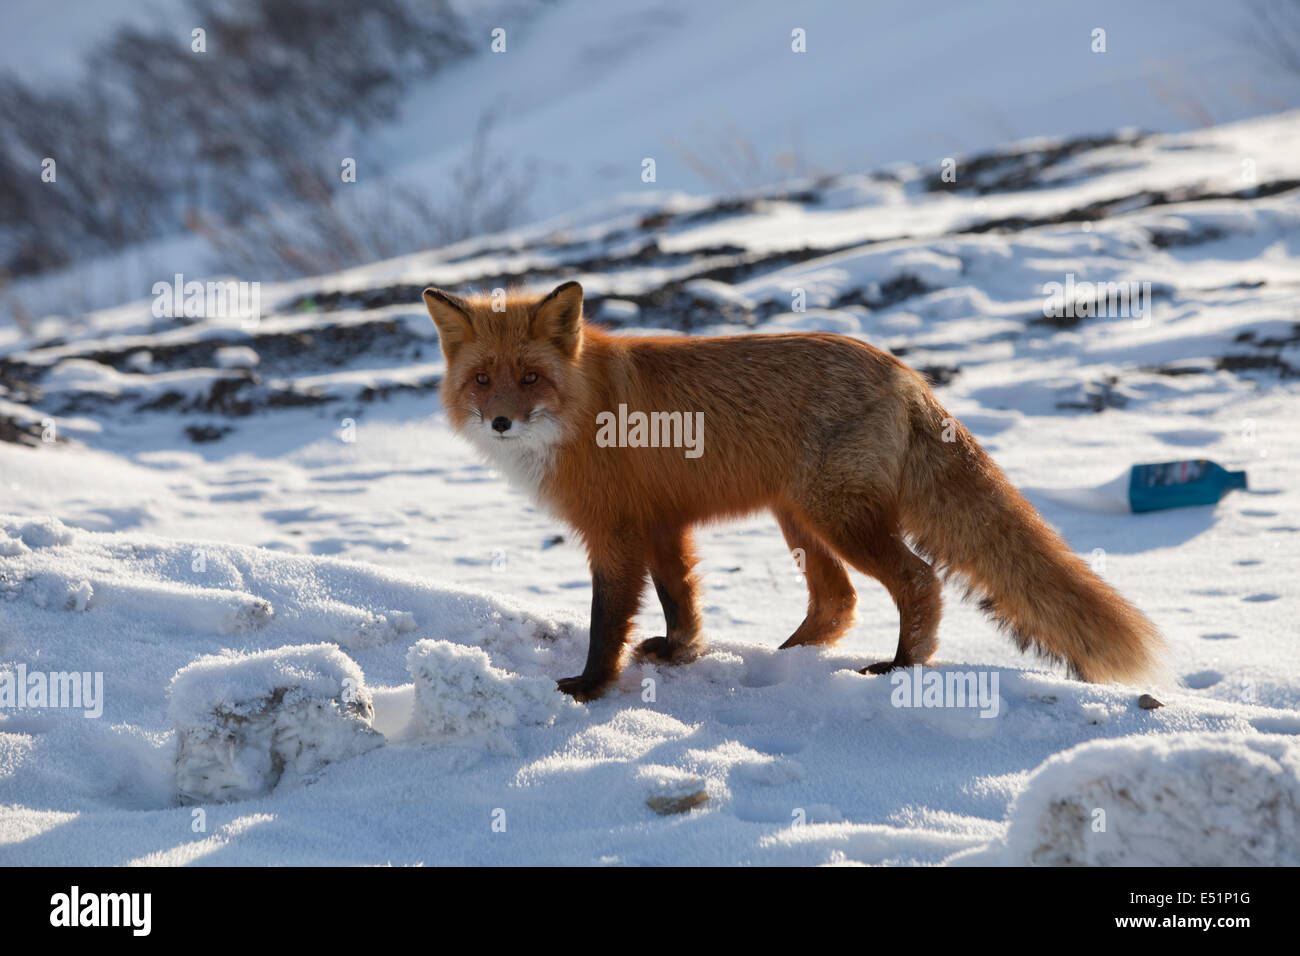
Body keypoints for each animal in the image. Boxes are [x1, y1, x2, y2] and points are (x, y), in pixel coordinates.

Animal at [423, 280, 1163, 701]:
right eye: (483, 380)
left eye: (530, 378)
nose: (501, 422)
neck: (584, 407)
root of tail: (904, 372)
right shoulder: (662, 522)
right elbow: (679, 599)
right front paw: (682, 653)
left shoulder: (616, 531)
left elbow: (608, 618)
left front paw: (590, 686)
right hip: (799, 518)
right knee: (838, 602)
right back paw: (790, 658)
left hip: (834, 516)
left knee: (917, 579)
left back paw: (902, 665)